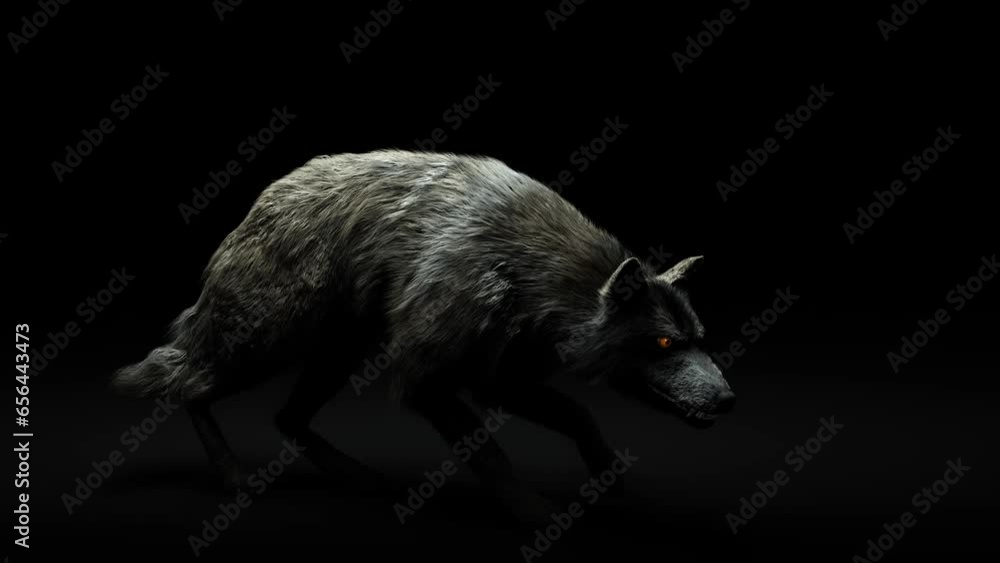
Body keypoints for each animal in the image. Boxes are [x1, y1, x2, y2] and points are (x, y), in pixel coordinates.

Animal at [112, 149, 734, 513]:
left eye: (699, 337)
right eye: (663, 342)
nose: (728, 399)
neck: (531, 276)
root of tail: (258, 204)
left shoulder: (499, 379)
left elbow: (578, 413)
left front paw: (609, 478)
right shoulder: (426, 380)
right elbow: (493, 457)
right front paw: (530, 509)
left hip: (338, 349)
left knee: (286, 418)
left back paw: (358, 477)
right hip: (268, 341)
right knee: (186, 383)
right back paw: (232, 475)